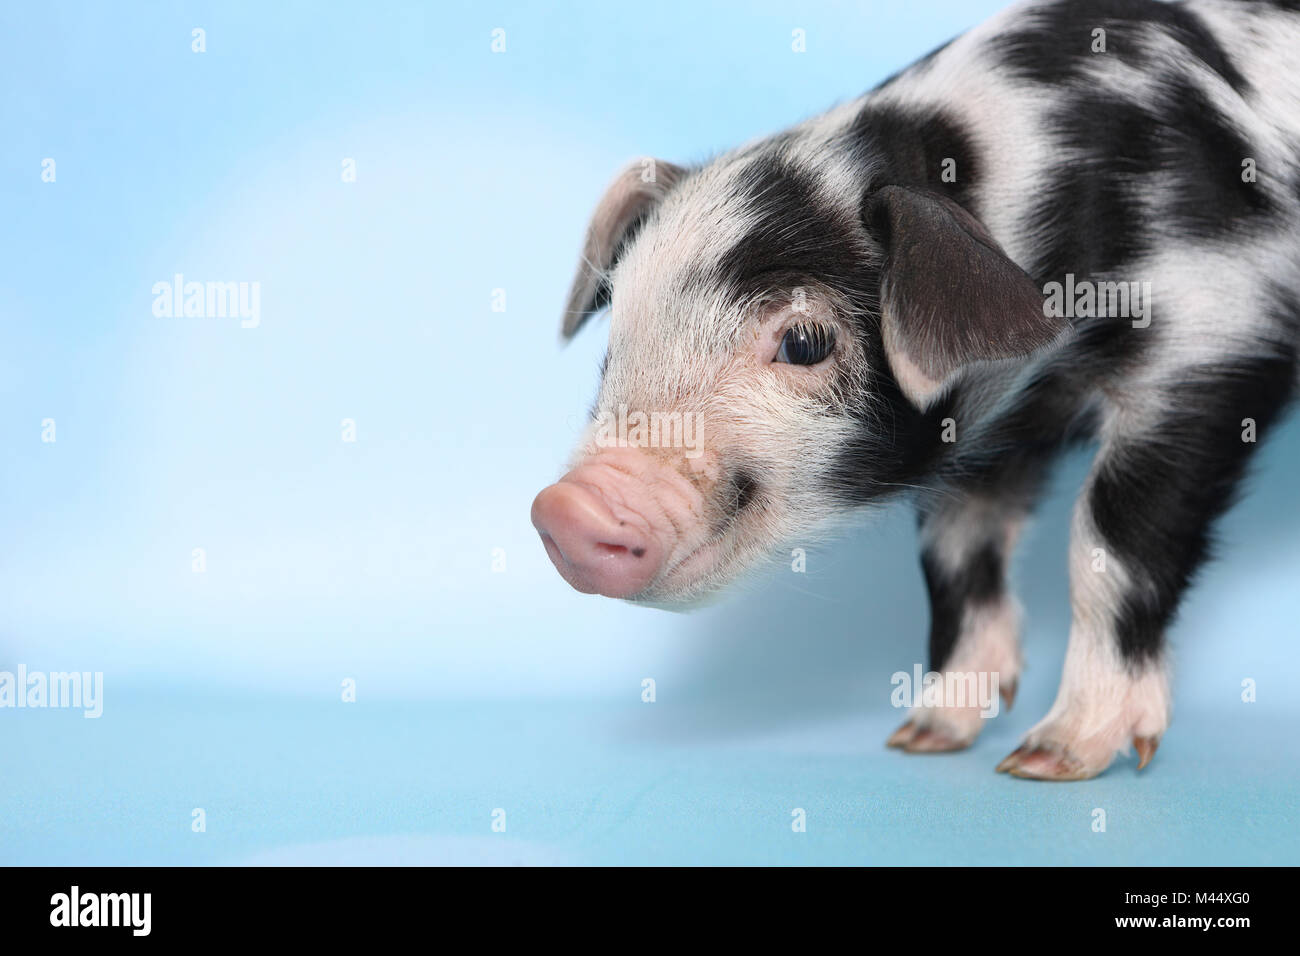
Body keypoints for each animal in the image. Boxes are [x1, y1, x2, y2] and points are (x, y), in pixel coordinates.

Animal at [531, 0, 1300, 780]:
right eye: (617, 332)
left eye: (804, 342)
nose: (567, 507)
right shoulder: (982, 434)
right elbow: (952, 563)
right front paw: (925, 737)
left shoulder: (1215, 333)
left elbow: (1110, 542)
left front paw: (1046, 761)